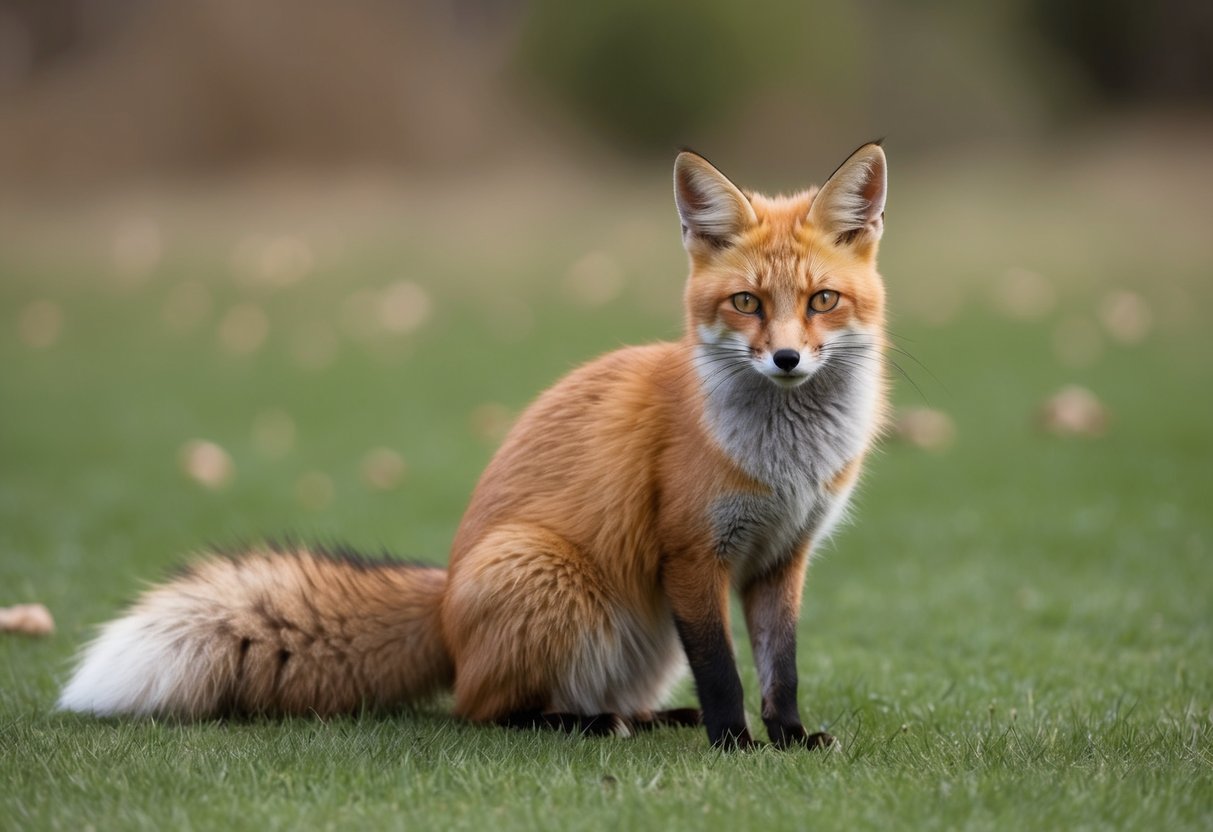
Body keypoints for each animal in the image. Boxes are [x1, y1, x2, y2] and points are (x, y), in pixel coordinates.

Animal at [58, 143, 890, 750]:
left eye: (821, 300)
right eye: (745, 302)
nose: (785, 359)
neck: (783, 460)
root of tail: (447, 601)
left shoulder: (782, 558)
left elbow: (780, 667)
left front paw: (787, 736)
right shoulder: (691, 554)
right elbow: (721, 671)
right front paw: (733, 744)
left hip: (644, 640)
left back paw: (649, 719)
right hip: (553, 580)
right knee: (484, 710)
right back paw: (586, 725)